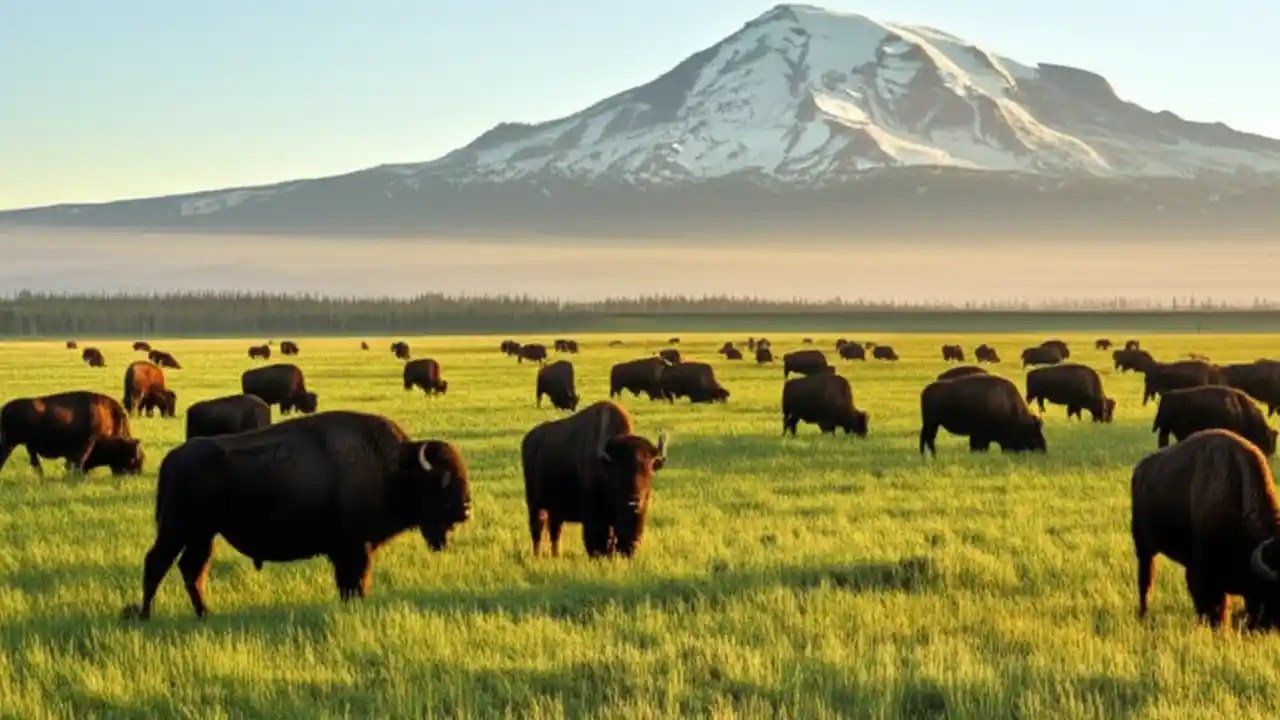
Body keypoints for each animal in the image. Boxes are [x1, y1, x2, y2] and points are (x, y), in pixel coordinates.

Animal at [0, 392, 143, 476]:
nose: (136, 473)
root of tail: (5, 408)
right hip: (9, 444)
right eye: (132, 458)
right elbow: (79, 461)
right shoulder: (86, 444)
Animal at [122, 411, 470, 619]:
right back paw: (145, 614)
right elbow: (355, 579)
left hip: (203, 534)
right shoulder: (353, 548)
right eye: (443, 479)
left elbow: (351, 582)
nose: (465, 509)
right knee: (157, 563)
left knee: (192, 569)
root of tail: (173, 458)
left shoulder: (352, 549)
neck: (397, 467)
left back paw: (204, 613)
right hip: (177, 528)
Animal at [522, 401, 667, 558]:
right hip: (535, 503)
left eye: (649, 473)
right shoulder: (594, 512)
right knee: (538, 529)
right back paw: (537, 555)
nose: (634, 501)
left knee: (555, 530)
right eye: (618, 474)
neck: (606, 463)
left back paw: (556, 555)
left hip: (555, 509)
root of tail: (529, 438)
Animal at [1131, 429, 1280, 629]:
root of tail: (1139, 470)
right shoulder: (1205, 573)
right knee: (1145, 581)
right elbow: (1214, 606)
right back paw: (1143, 615)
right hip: (1144, 548)